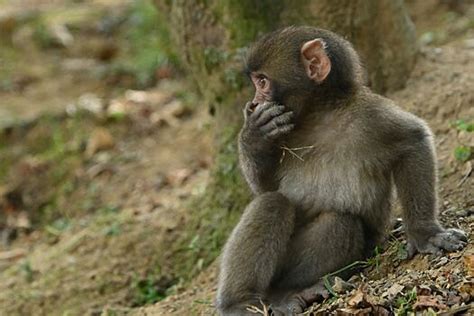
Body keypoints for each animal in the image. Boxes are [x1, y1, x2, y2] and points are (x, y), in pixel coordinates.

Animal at [216, 25, 466, 314]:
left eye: (262, 82)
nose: (254, 103)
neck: (319, 116)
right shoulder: (284, 135)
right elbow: (266, 188)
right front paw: (254, 136)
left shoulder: (371, 115)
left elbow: (413, 141)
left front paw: (426, 233)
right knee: (272, 203)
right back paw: (240, 302)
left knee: (341, 222)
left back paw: (289, 292)